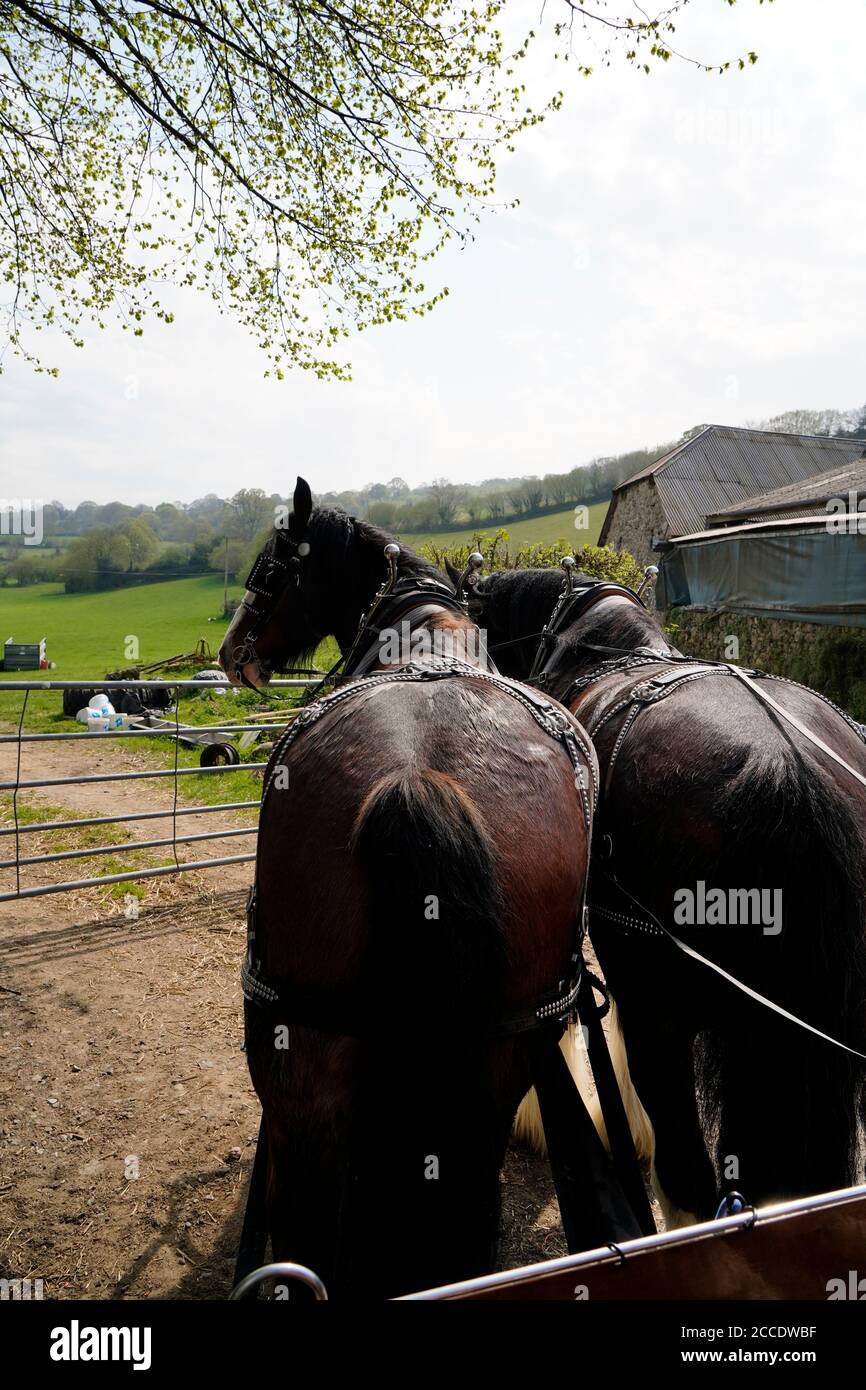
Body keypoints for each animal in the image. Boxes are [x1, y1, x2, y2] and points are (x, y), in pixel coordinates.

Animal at [218, 480, 598, 1297]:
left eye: (269, 570)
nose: (233, 653)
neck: (422, 634)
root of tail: (415, 775)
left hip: (291, 1067)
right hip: (496, 1066)